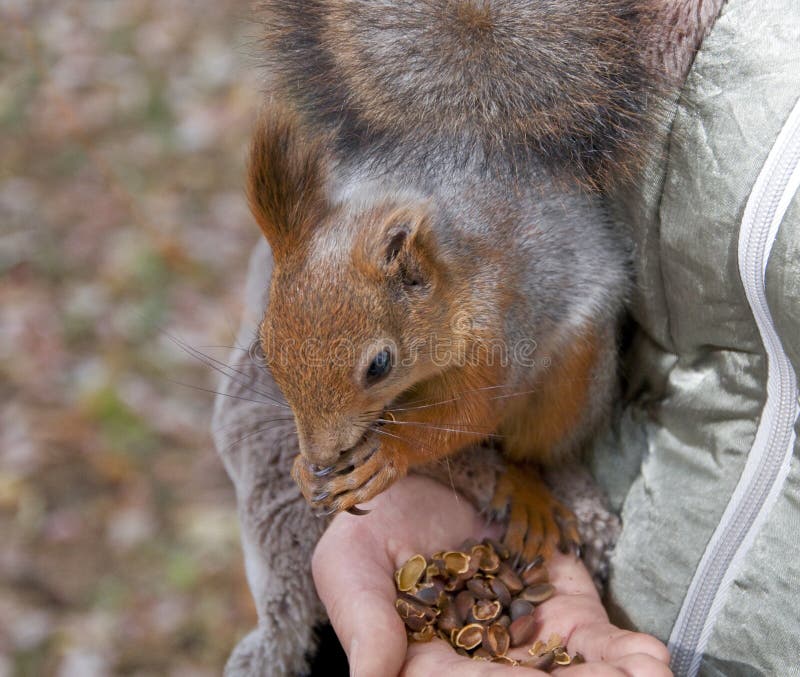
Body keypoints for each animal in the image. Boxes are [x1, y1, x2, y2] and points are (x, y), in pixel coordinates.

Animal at [246, 0, 653, 561]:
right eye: (264, 349)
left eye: (379, 365)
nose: (322, 455)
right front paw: (302, 471)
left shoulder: (496, 335)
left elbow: (468, 414)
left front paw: (387, 454)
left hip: (575, 378)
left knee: (532, 449)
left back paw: (529, 495)